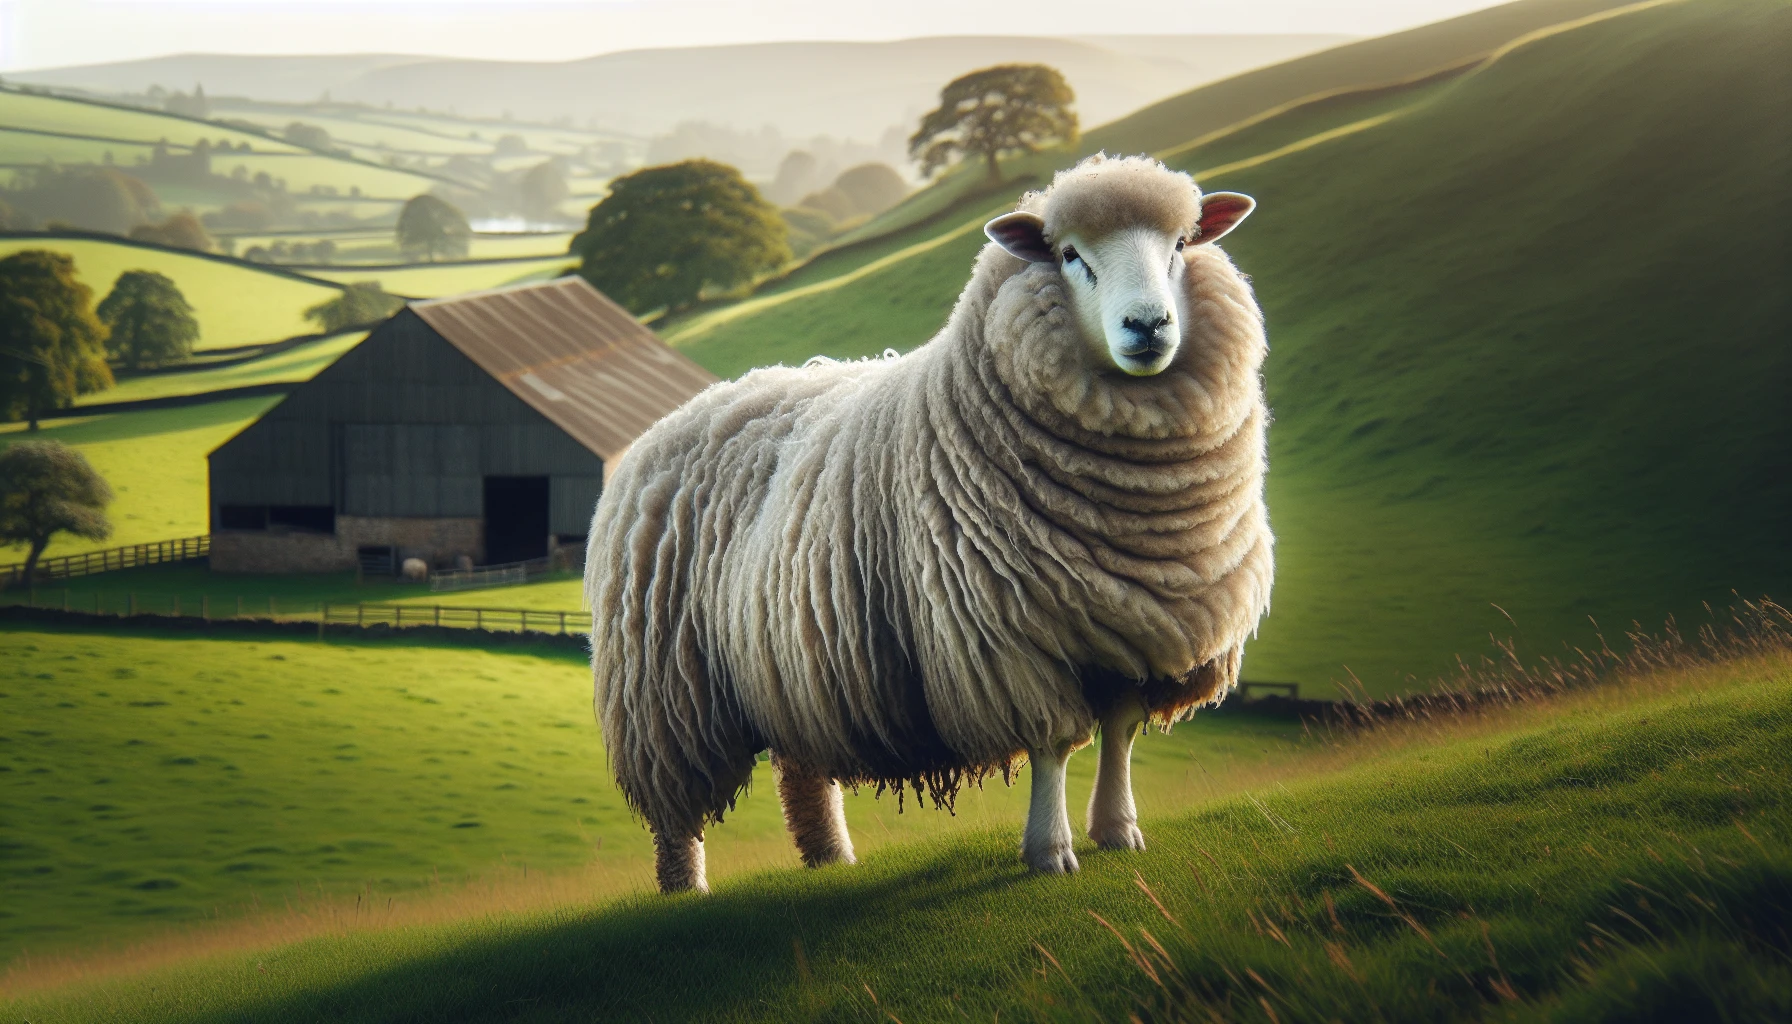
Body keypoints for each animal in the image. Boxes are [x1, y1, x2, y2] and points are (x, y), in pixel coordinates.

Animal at [586, 154, 1273, 893]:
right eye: (1069, 255)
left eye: (1182, 244)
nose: (1148, 326)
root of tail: (684, 411)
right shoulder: (1009, 639)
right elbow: (1053, 746)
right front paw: (1050, 850)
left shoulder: (1136, 629)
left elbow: (1119, 732)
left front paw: (1118, 833)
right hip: (663, 691)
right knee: (676, 808)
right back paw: (686, 888)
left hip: (785, 659)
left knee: (801, 770)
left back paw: (831, 858)